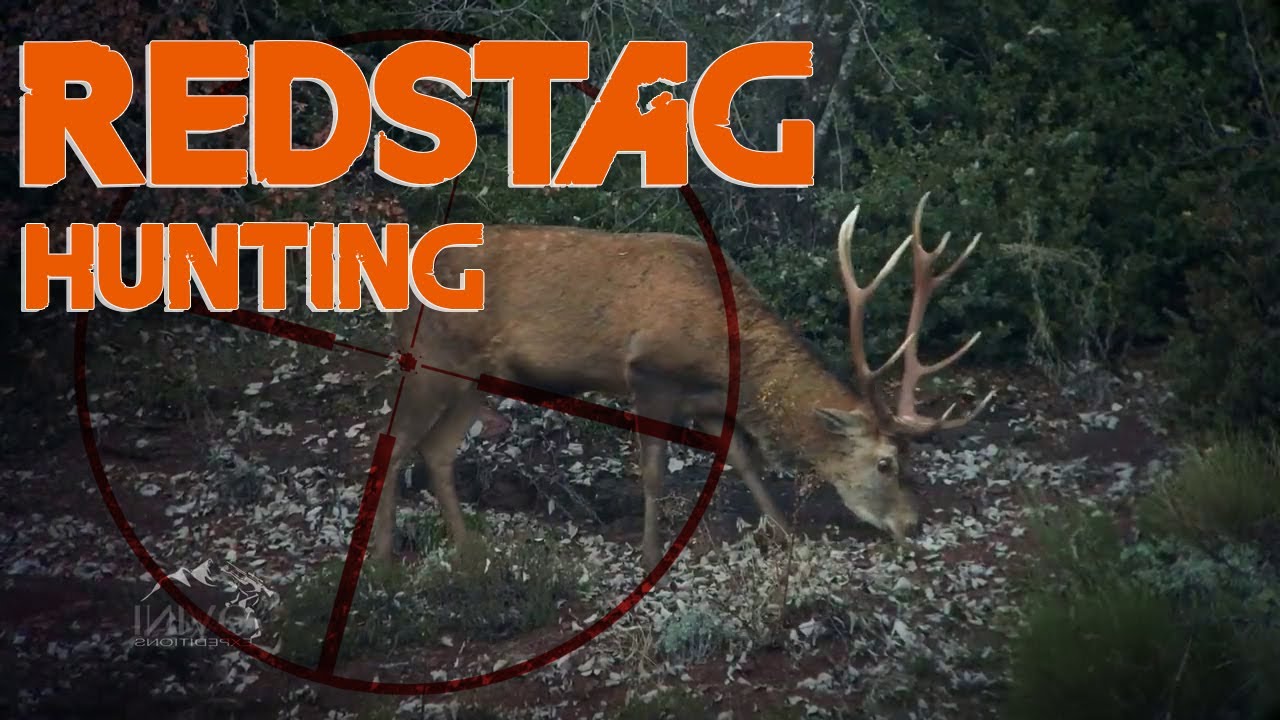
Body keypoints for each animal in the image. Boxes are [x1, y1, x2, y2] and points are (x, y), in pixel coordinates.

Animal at [370, 192, 994, 569]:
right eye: (887, 463)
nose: (913, 523)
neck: (723, 353)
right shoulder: (652, 376)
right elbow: (653, 472)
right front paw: (651, 552)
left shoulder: (709, 399)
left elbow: (743, 459)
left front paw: (784, 531)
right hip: (431, 353)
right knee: (396, 442)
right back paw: (383, 556)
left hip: (476, 375)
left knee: (436, 450)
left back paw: (469, 546)